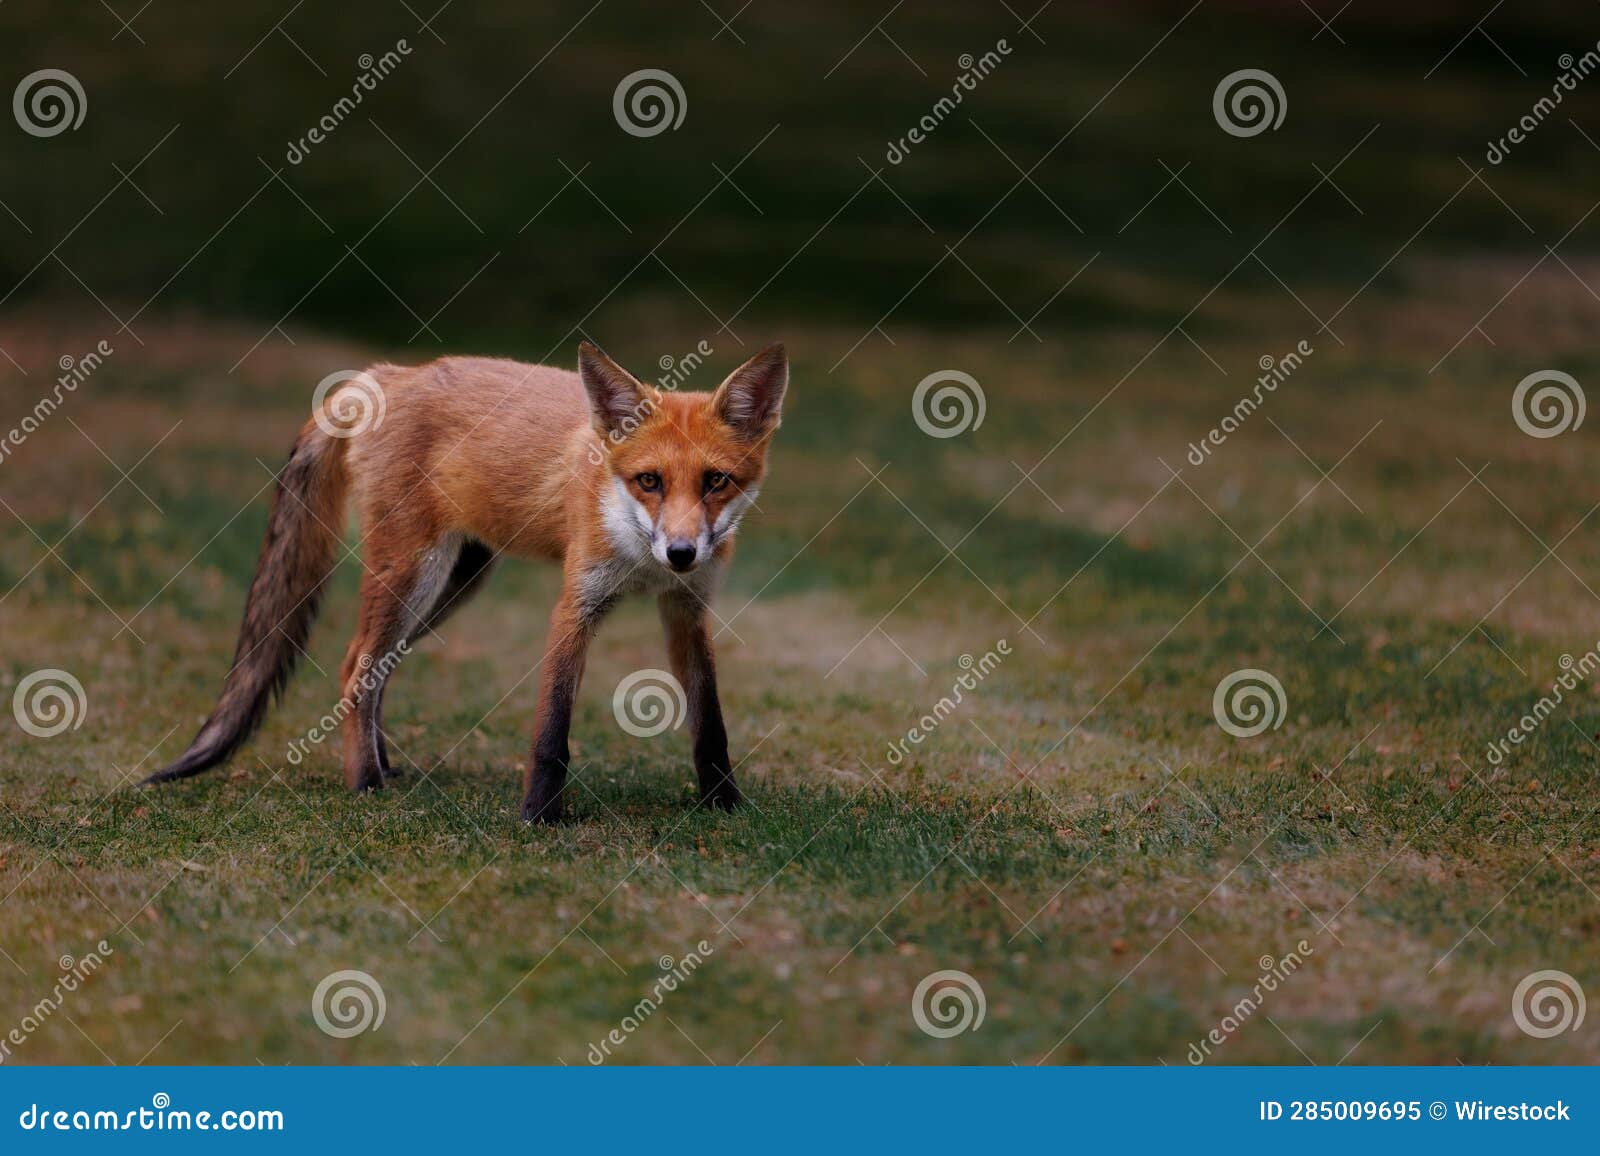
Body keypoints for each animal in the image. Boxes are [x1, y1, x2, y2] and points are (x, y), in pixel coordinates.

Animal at [141, 340, 789, 822]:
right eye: (649, 480)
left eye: (715, 481)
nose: (681, 552)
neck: (641, 561)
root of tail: (387, 374)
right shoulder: (575, 604)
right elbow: (552, 732)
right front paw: (539, 817)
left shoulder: (687, 608)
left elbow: (710, 725)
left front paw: (724, 805)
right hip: (414, 573)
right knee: (355, 664)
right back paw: (366, 784)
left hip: (453, 584)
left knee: (377, 670)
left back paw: (381, 763)